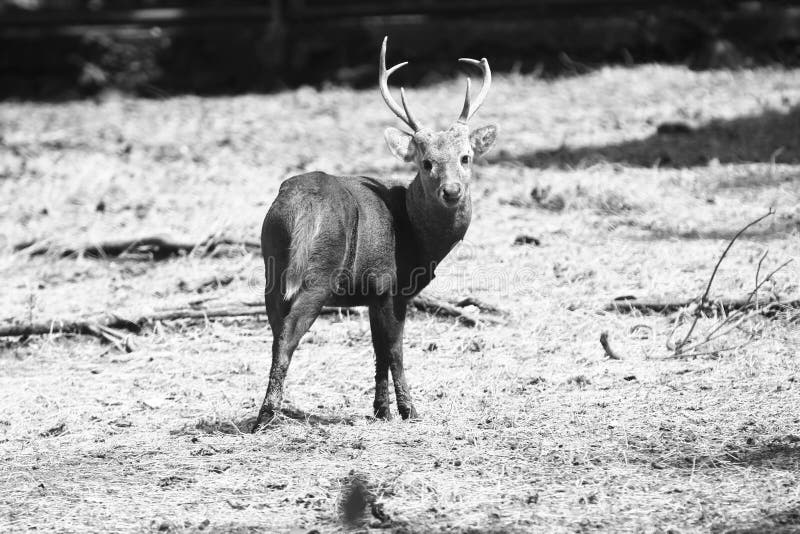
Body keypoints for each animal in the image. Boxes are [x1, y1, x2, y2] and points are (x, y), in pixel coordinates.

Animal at [252, 37, 496, 430]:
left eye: (466, 157)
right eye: (426, 162)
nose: (452, 191)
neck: (418, 239)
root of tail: (303, 202)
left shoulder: (370, 292)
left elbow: (377, 350)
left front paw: (381, 410)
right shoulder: (390, 285)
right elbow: (394, 350)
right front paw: (408, 409)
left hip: (271, 263)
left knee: (275, 334)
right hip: (318, 273)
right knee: (288, 336)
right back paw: (266, 416)